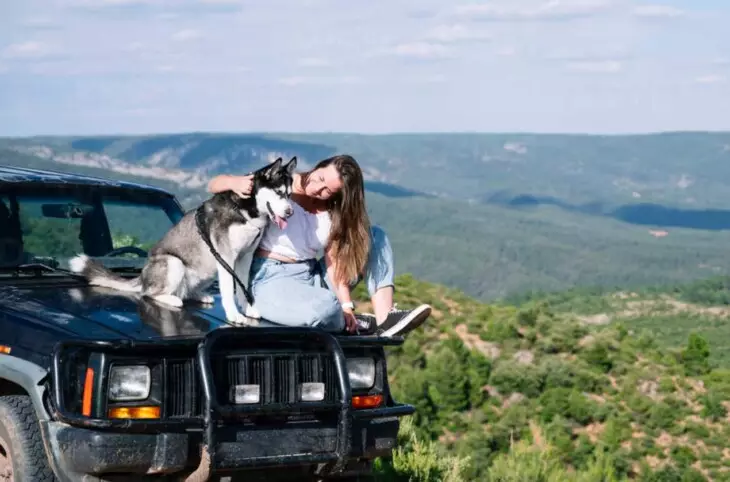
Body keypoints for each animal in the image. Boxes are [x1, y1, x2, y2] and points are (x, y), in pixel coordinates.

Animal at [69, 158, 296, 324]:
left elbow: (242, 286)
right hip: (174, 263)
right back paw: (171, 298)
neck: (245, 207)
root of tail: (142, 276)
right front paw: (234, 315)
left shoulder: (245, 256)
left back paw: (198, 295)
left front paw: (248, 309)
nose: (290, 212)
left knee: (185, 290)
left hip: (206, 269)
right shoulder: (225, 256)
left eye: (289, 195)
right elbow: (228, 289)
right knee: (149, 293)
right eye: (279, 192)